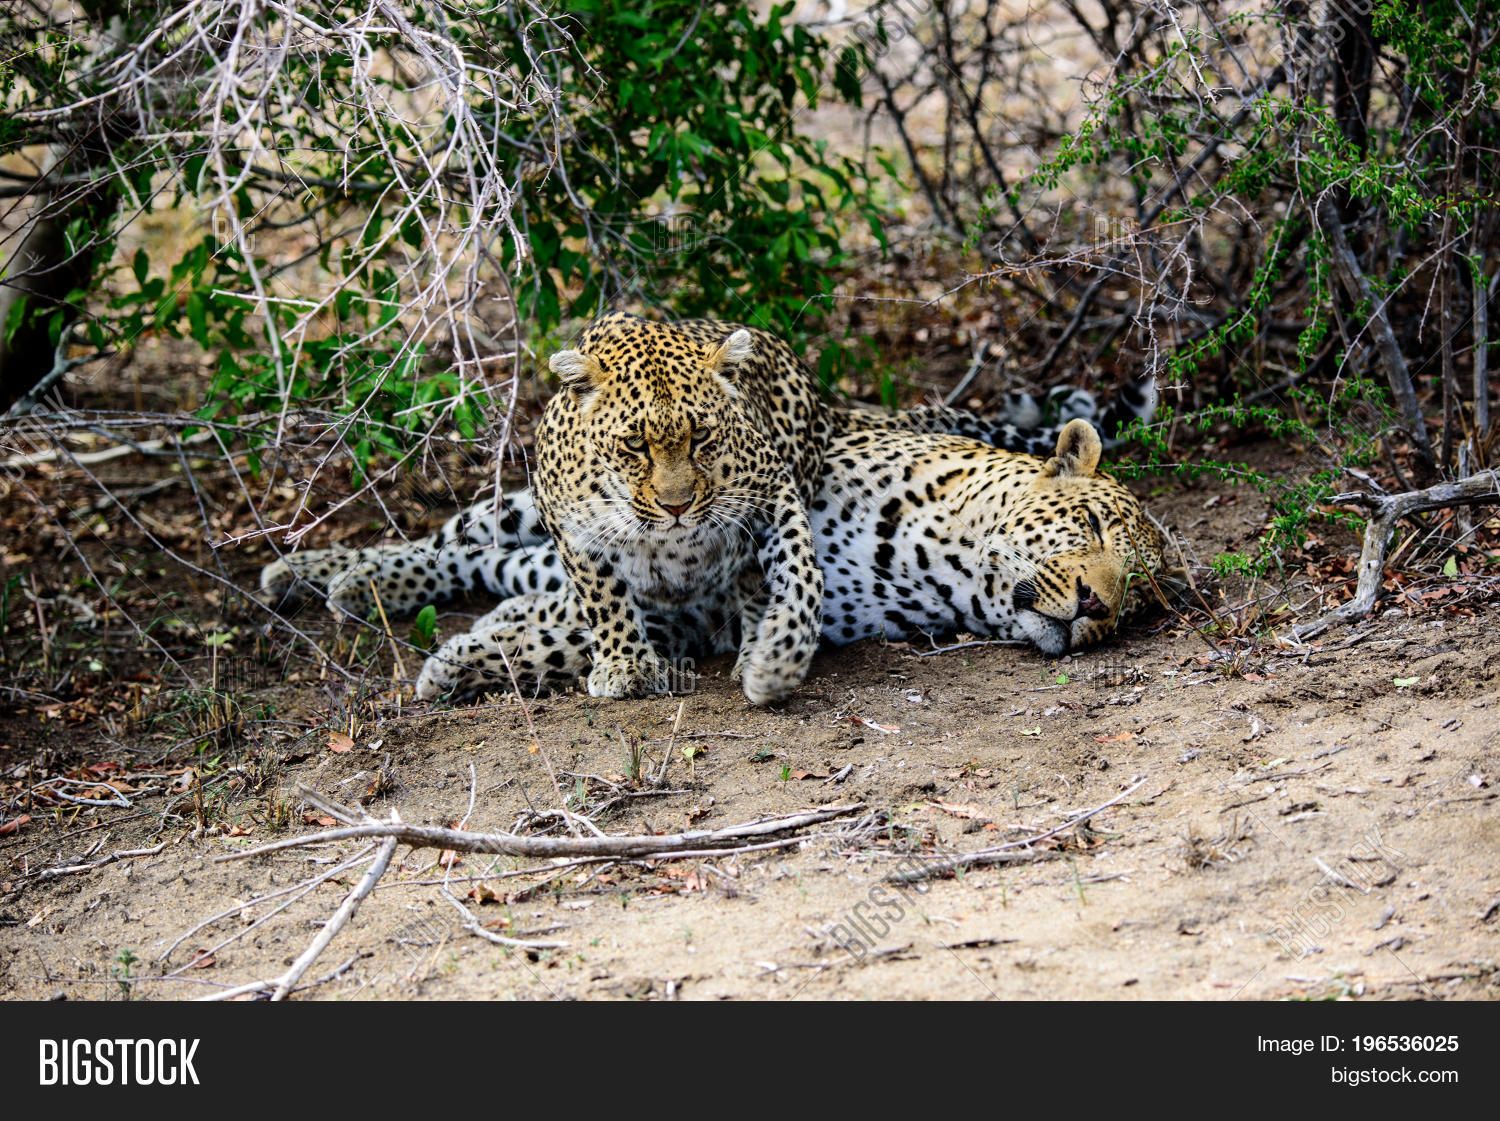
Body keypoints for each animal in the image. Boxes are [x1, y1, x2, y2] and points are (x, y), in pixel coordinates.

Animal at [260, 313, 1158, 703]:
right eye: (1091, 525)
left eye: (1139, 599)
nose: (1097, 606)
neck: (945, 562)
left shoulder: (701, 610)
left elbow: (554, 631)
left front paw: (469, 655)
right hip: (527, 511)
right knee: (452, 543)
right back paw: (322, 573)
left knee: (491, 567)